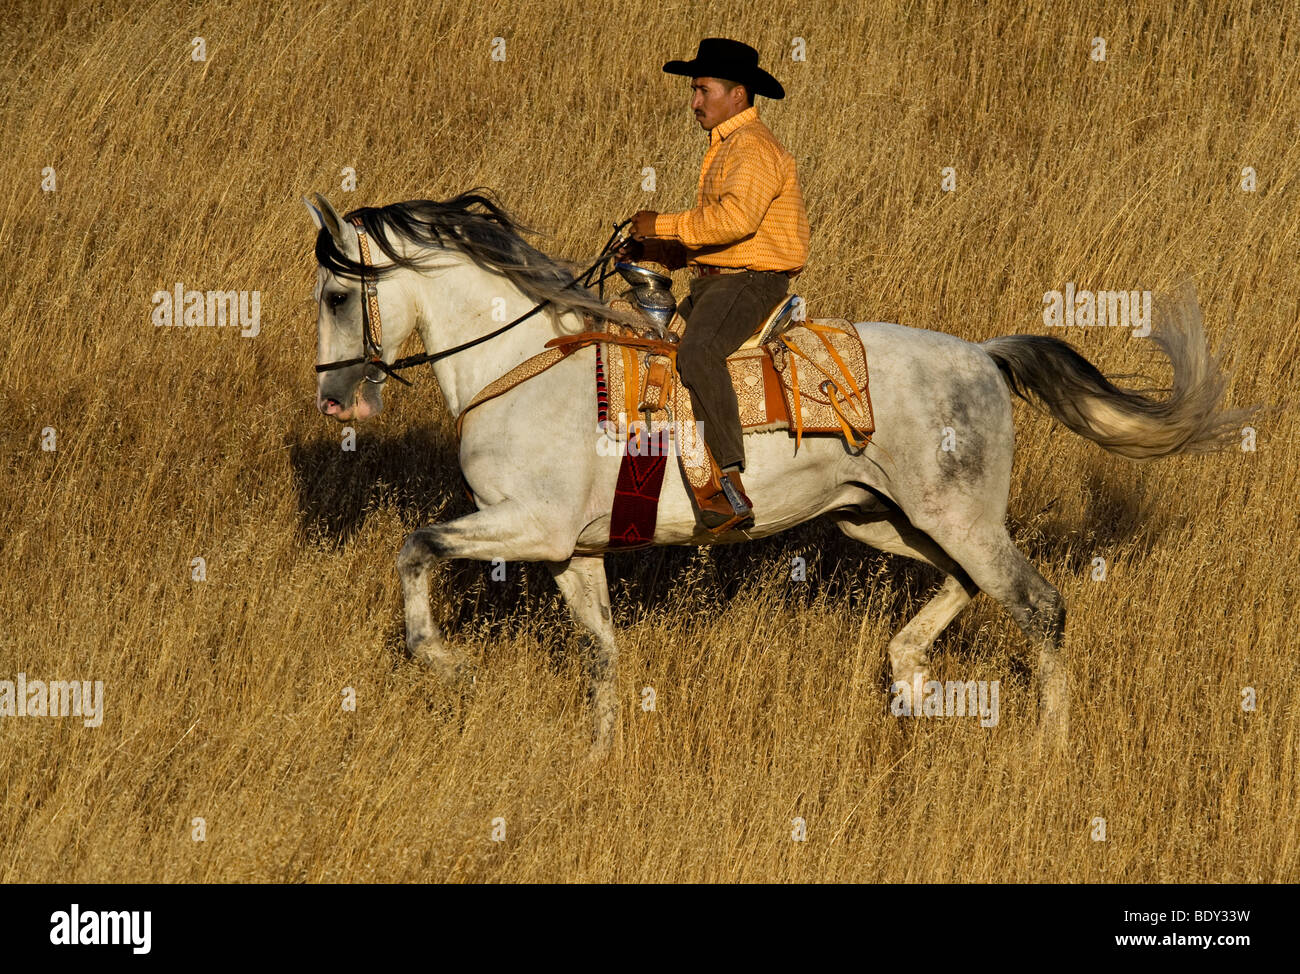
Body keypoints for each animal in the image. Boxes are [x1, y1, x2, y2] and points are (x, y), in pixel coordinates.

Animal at [304, 189, 1248, 759]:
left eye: (337, 295)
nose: (336, 401)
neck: (523, 366)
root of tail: (985, 357)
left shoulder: (527, 528)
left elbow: (413, 548)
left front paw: (446, 662)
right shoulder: (574, 552)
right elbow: (603, 653)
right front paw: (600, 757)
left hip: (957, 519)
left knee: (1039, 605)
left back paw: (1046, 750)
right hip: (883, 518)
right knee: (962, 587)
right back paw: (909, 676)